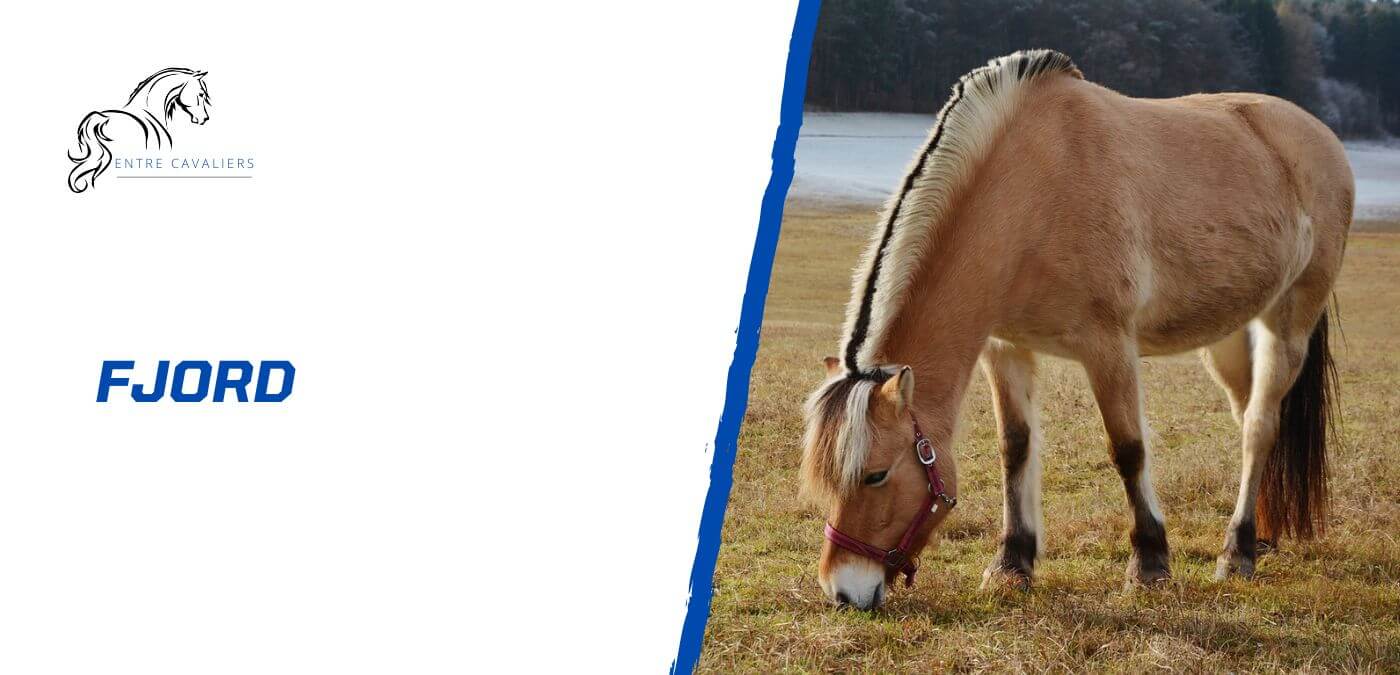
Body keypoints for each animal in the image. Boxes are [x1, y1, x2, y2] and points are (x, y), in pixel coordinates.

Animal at [799, 50, 1352, 610]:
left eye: (876, 474)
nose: (843, 590)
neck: (1033, 190)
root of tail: (1319, 137)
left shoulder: (1108, 347)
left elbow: (1128, 449)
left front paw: (1149, 565)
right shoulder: (1005, 348)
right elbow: (1015, 448)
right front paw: (1012, 564)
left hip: (1287, 322)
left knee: (1260, 427)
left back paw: (1236, 553)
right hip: (1229, 337)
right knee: (1249, 420)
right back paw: (1262, 536)